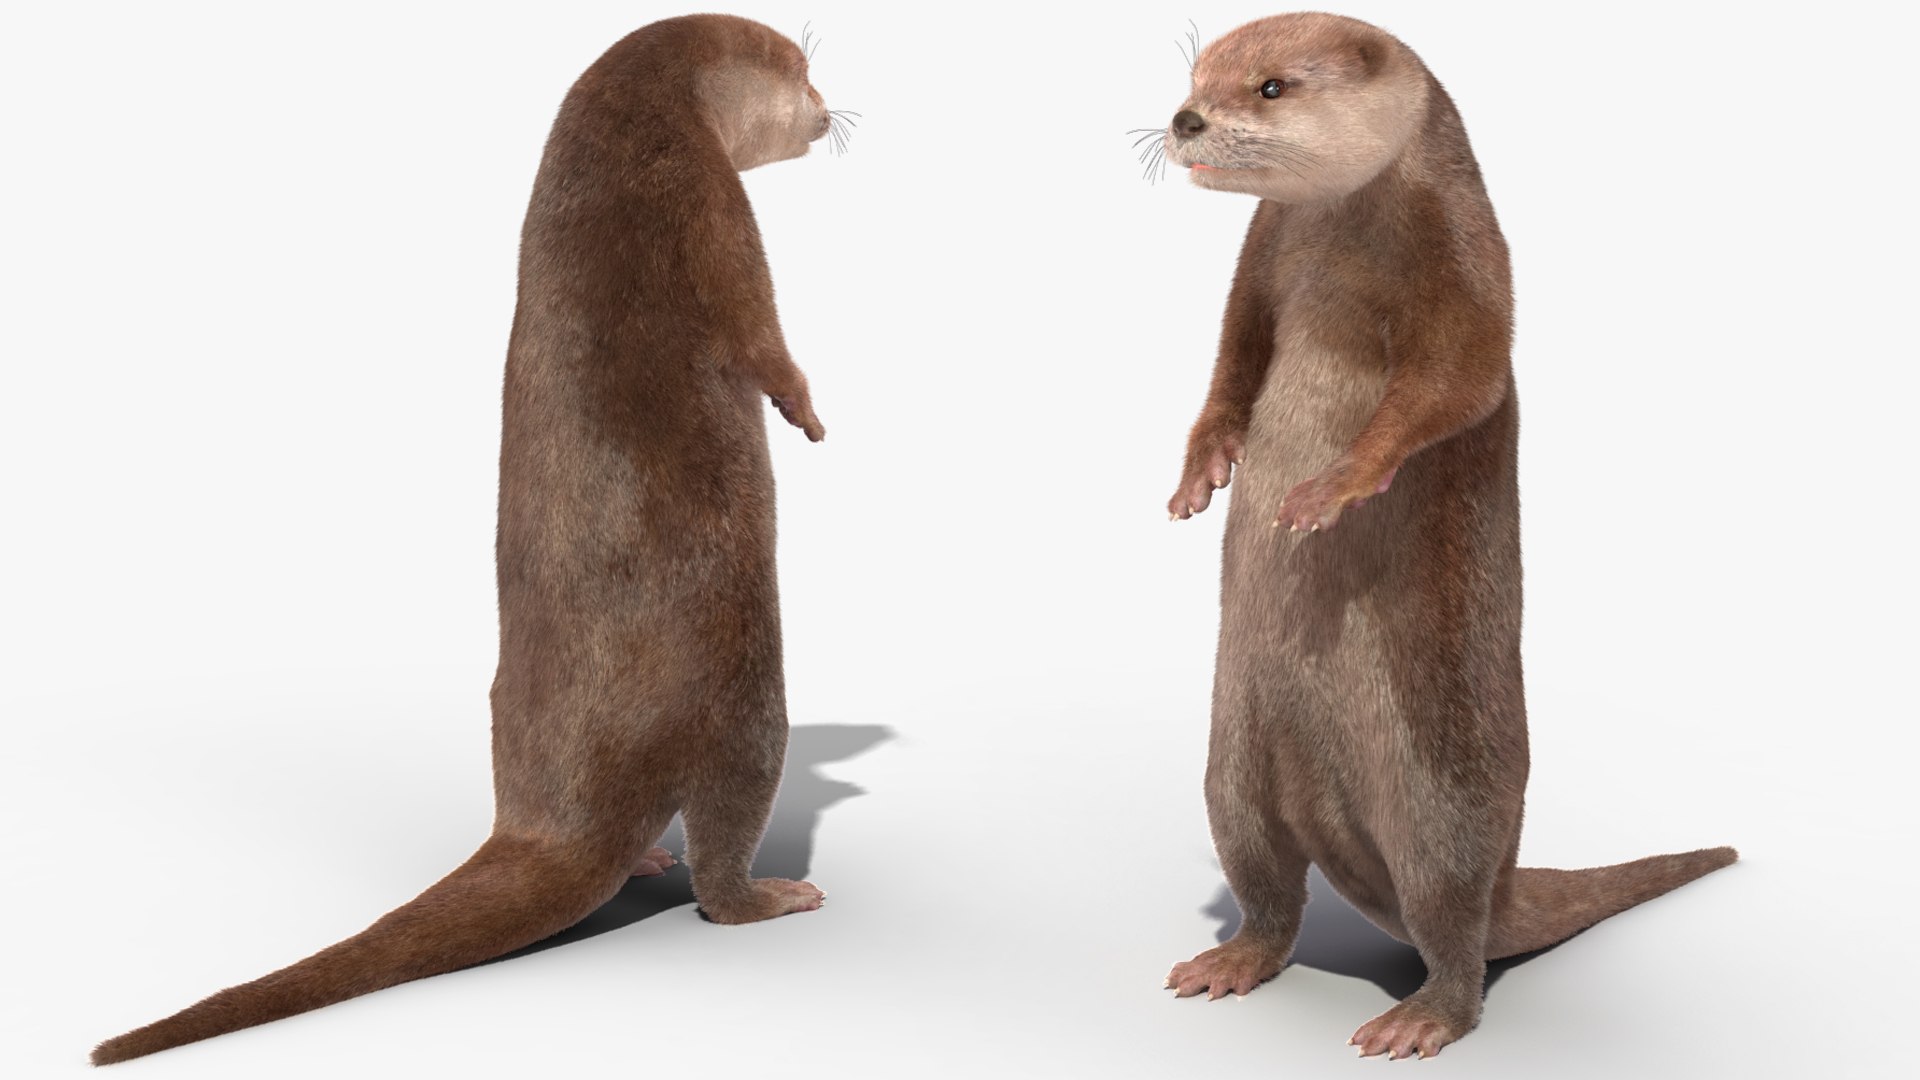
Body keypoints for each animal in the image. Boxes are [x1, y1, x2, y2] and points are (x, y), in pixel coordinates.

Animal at [93, 15, 842, 1064]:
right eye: (805, 71)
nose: (829, 108)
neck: (624, 150)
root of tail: (562, 822)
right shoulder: (708, 207)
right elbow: (760, 329)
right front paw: (809, 417)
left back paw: (643, 858)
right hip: (747, 699)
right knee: (724, 858)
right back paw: (773, 893)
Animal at [1152, 13, 1735, 1059]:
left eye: (1269, 86)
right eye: (1195, 74)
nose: (1183, 120)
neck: (1349, 242)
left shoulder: (1467, 257)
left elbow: (1458, 380)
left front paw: (1331, 488)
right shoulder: (1261, 263)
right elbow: (1230, 367)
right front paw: (1198, 478)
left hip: (1440, 800)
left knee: (1452, 927)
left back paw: (1418, 1018)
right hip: (1231, 770)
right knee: (1269, 889)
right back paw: (1229, 961)